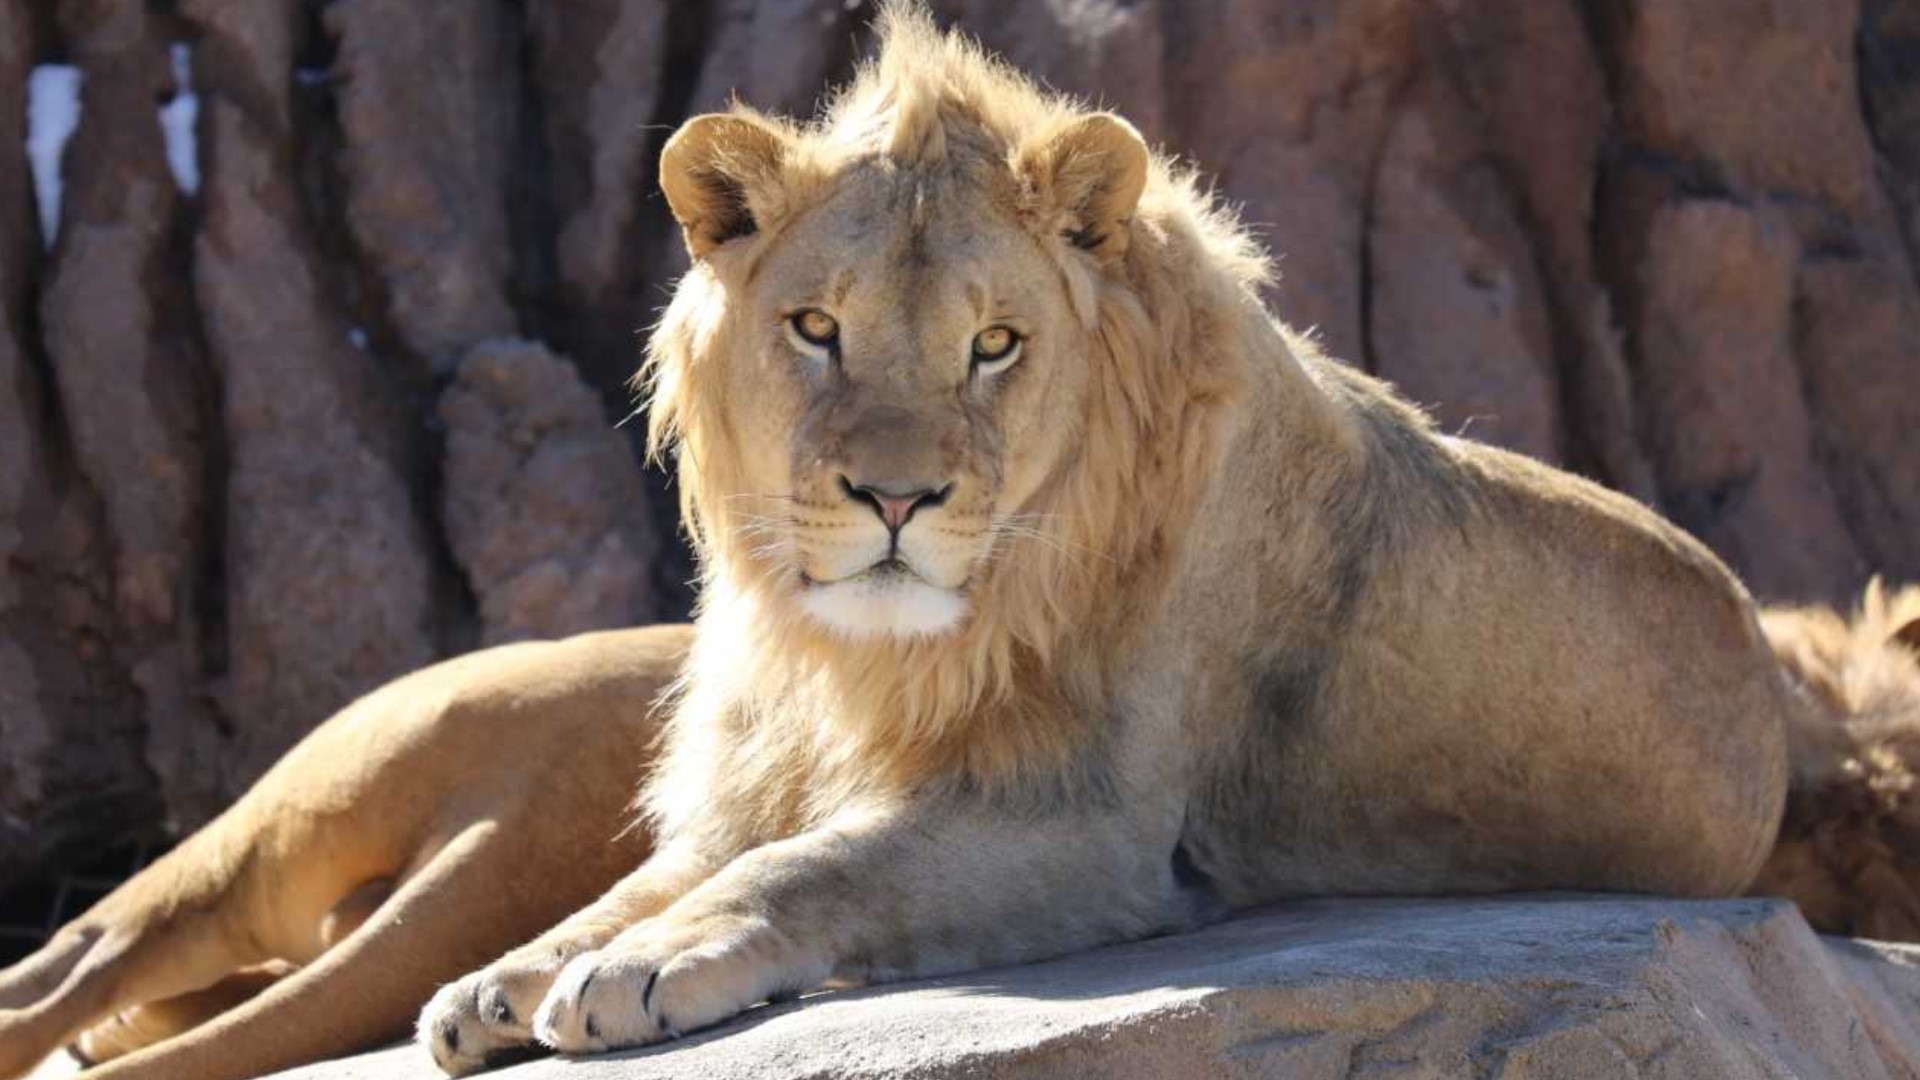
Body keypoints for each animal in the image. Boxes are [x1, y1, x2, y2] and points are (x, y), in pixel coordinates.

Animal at [414, 5, 1796, 1072]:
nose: (896, 501)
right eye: (816, 329)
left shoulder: (1097, 824)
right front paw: (506, 977)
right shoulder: (764, 773)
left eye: (994, 344)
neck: (873, 654)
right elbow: (650, 875)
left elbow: (819, 865)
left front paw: (632, 969)